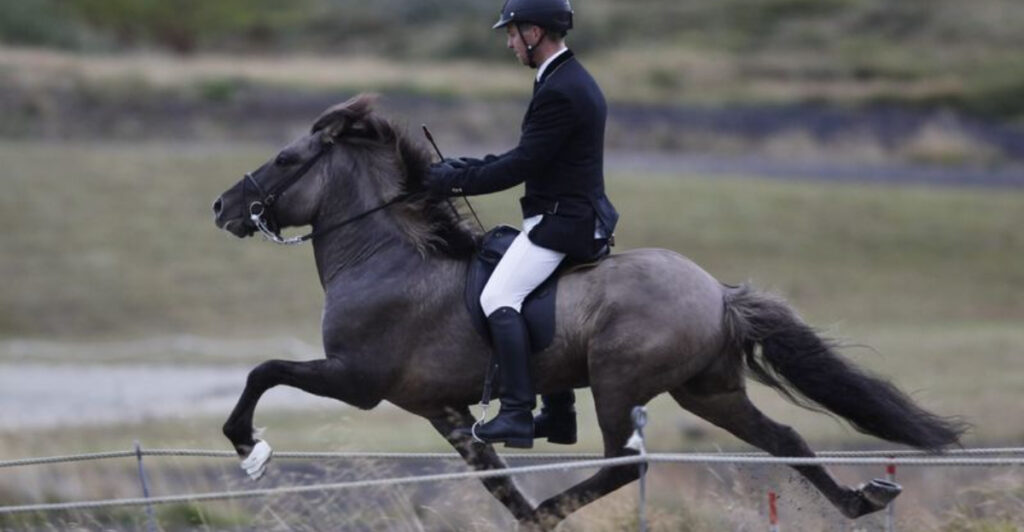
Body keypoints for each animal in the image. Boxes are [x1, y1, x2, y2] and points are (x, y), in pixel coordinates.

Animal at [212, 94, 965, 529]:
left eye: (287, 158)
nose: (222, 206)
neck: (387, 256)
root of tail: (718, 293)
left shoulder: (356, 379)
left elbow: (263, 370)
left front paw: (250, 448)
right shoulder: (440, 408)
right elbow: (492, 475)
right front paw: (524, 516)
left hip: (618, 382)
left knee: (624, 466)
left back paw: (558, 505)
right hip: (708, 391)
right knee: (785, 440)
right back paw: (860, 501)